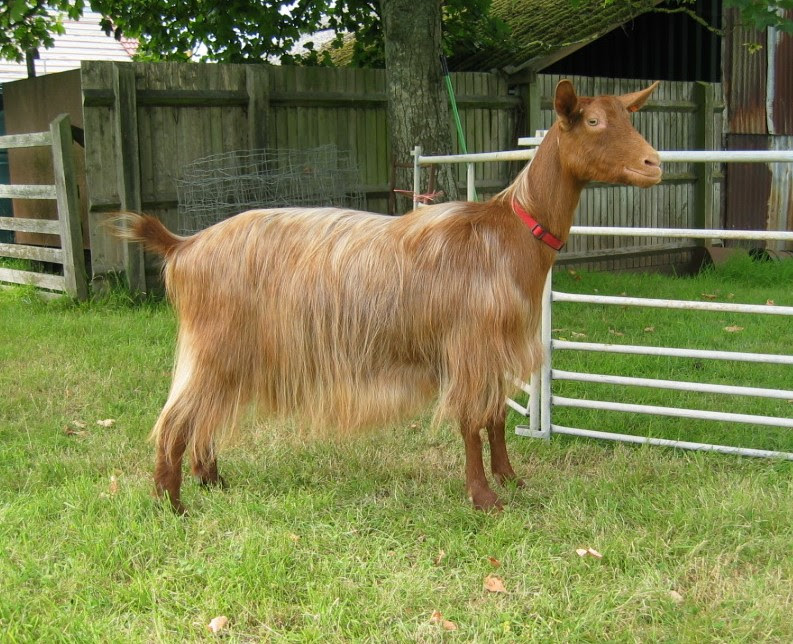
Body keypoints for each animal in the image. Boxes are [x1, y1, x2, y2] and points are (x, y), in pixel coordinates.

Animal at [118, 80, 661, 514]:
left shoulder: (494, 350)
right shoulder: (470, 346)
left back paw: (212, 480)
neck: (509, 232)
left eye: (628, 116)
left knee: (206, 412)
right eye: (593, 120)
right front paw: (484, 498)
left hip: (235, 351)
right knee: (176, 416)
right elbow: (471, 422)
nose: (653, 163)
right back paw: (171, 503)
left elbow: (496, 418)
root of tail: (184, 245)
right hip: (215, 343)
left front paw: (511, 479)